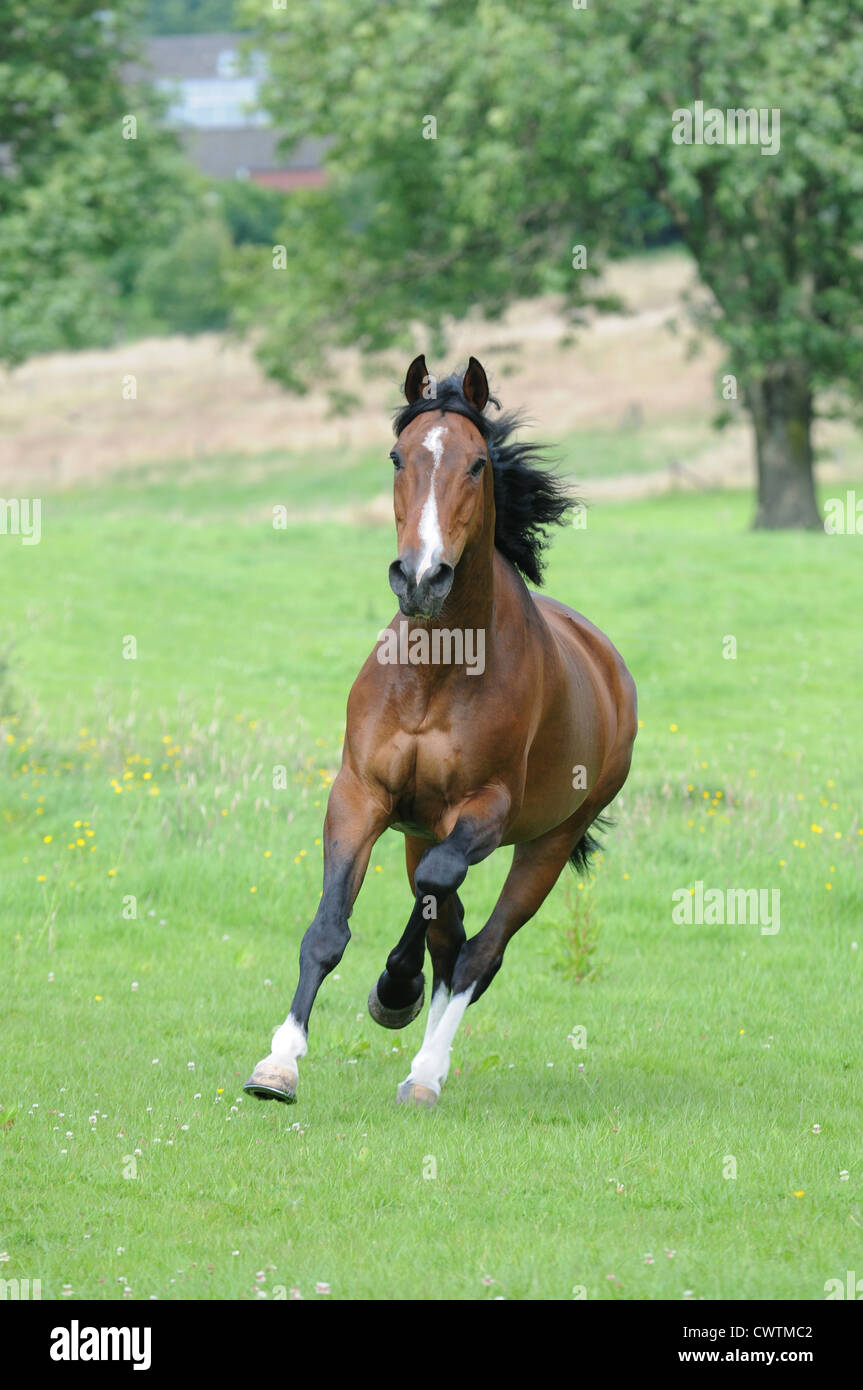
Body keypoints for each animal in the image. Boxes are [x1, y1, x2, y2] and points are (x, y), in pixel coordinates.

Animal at [244, 355, 637, 1107]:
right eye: (398, 456)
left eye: (478, 464)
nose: (421, 576)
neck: (437, 673)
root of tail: (608, 665)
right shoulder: (361, 795)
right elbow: (328, 930)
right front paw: (278, 1065)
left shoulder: (483, 809)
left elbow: (441, 894)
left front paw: (395, 990)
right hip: (418, 825)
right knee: (449, 932)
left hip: (547, 842)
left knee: (479, 949)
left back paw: (425, 1069)